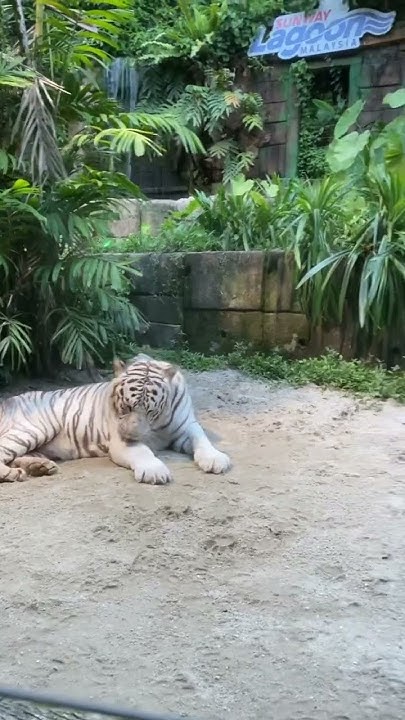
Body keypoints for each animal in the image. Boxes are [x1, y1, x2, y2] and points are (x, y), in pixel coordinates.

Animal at [0, 353, 231, 485]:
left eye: (150, 411)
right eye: (126, 407)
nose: (131, 435)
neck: (156, 426)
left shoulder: (187, 426)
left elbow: (201, 439)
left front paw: (216, 460)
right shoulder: (120, 441)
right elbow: (142, 451)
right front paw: (155, 472)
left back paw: (40, 467)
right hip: (37, 428)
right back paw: (12, 474)